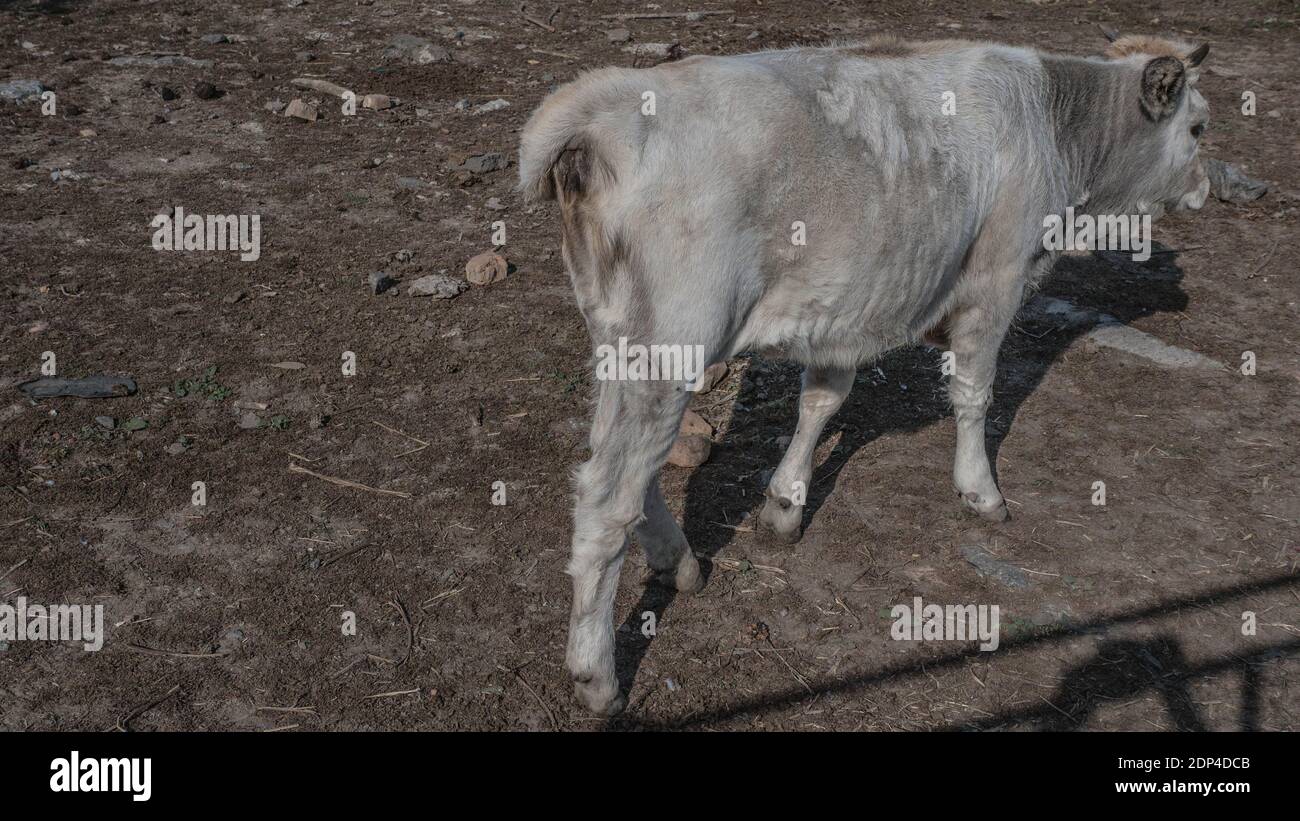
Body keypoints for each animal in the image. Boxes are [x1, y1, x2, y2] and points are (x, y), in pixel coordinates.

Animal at [519, 33, 1212, 715]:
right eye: (1199, 127)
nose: (1216, 187)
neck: (1055, 122)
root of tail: (602, 102)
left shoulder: (848, 307)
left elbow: (822, 402)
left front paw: (785, 504)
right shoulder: (996, 279)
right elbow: (975, 393)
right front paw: (980, 489)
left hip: (623, 346)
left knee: (624, 467)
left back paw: (679, 563)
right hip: (670, 346)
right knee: (608, 496)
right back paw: (597, 677)